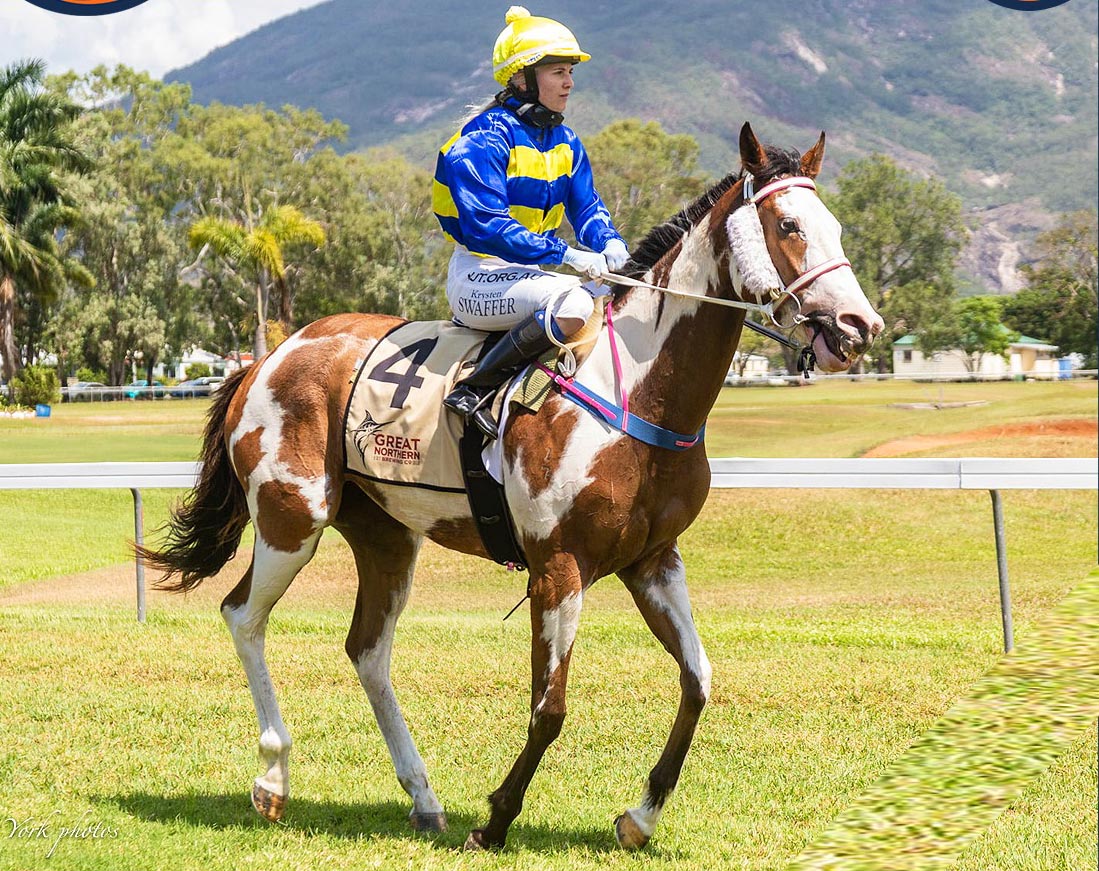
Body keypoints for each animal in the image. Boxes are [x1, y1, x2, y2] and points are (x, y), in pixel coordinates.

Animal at [141, 122, 883, 851]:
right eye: (788, 224)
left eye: (836, 225)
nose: (860, 327)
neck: (636, 392)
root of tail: (269, 356)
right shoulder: (558, 568)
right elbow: (548, 708)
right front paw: (496, 819)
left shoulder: (652, 561)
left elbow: (698, 681)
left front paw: (638, 818)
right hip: (291, 518)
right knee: (243, 616)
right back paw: (273, 777)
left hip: (387, 537)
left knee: (368, 650)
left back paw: (423, 798)